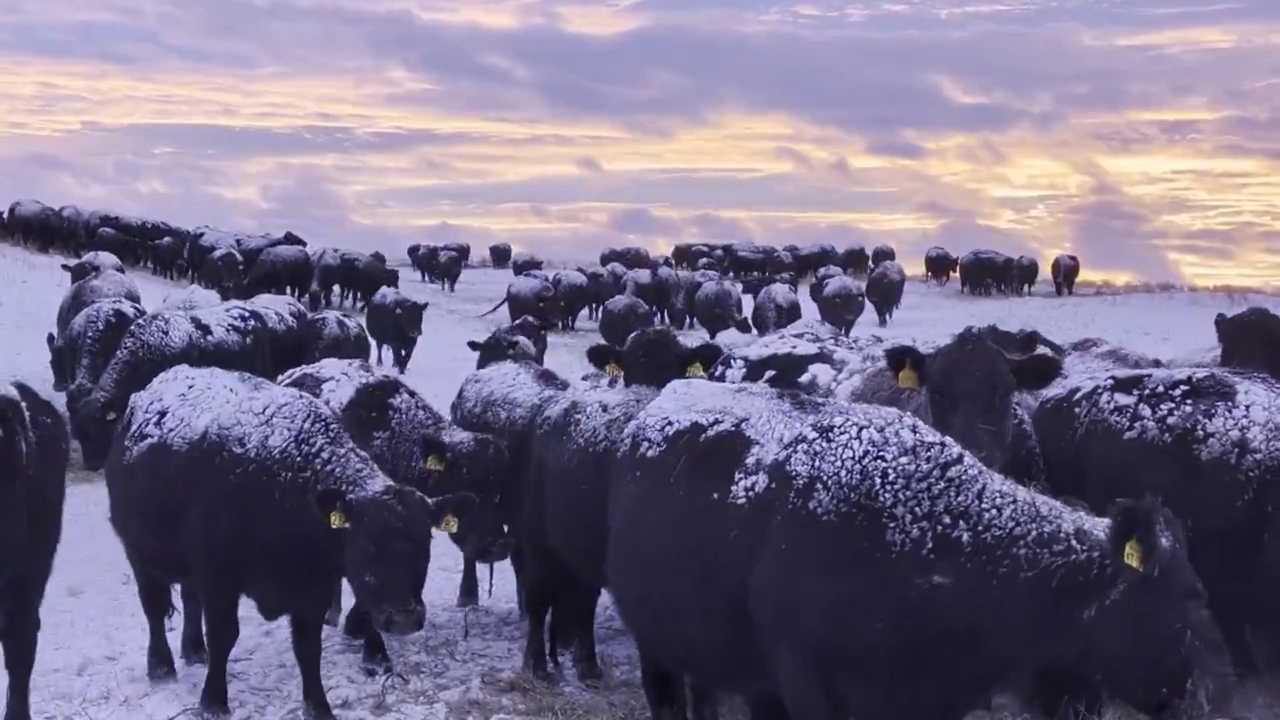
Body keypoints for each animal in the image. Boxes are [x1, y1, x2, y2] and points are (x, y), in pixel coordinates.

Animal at [104, 365, 476, 720]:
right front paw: (213, 702)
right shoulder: (219, 580)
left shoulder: (313, 589)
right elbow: (224, 636)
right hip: (139, 554)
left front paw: (319, 707)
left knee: (189, 599)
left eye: (425, 543)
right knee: (154, 609)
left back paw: (194, 649)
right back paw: (161, 665)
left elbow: (308, 649)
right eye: (368, 544)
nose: (404, 618)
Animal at [521, 328, 724, 681]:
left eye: (676, 365)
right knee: (538, 598)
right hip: (539, 537)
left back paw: (587, 664)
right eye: (629, 365)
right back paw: (537, 664)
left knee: (583, 598)